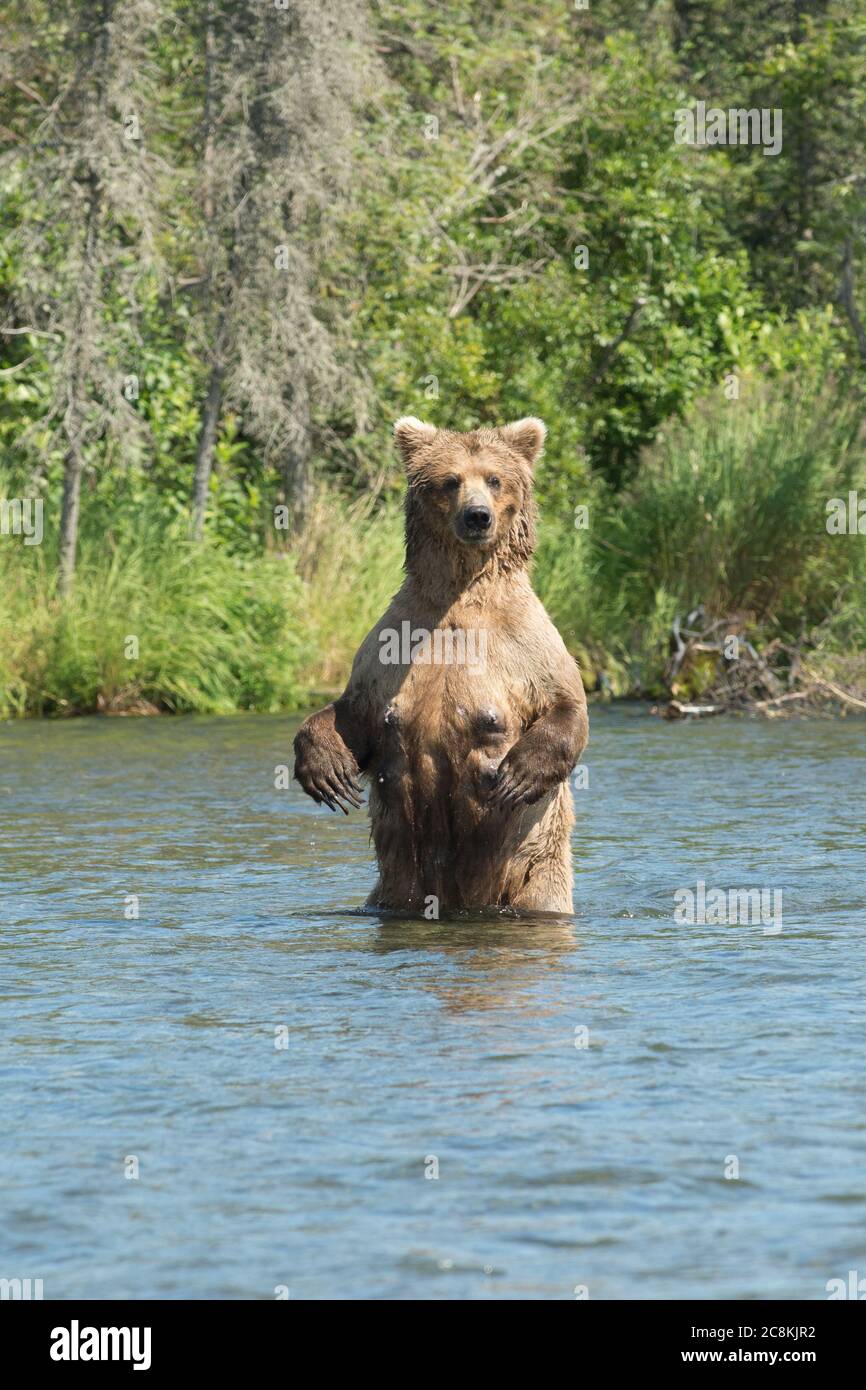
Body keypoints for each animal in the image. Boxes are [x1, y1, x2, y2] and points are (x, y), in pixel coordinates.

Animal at [293, 416, 588, 914]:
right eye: (450, 480)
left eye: (495, 478)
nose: (477, 516)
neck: (460, 590)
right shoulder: (393, 642)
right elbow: (355, 711)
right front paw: (327, 771)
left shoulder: (527, 640)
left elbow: (565, 703)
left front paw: (518, 774)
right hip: (393, 889)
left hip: (536, 874)